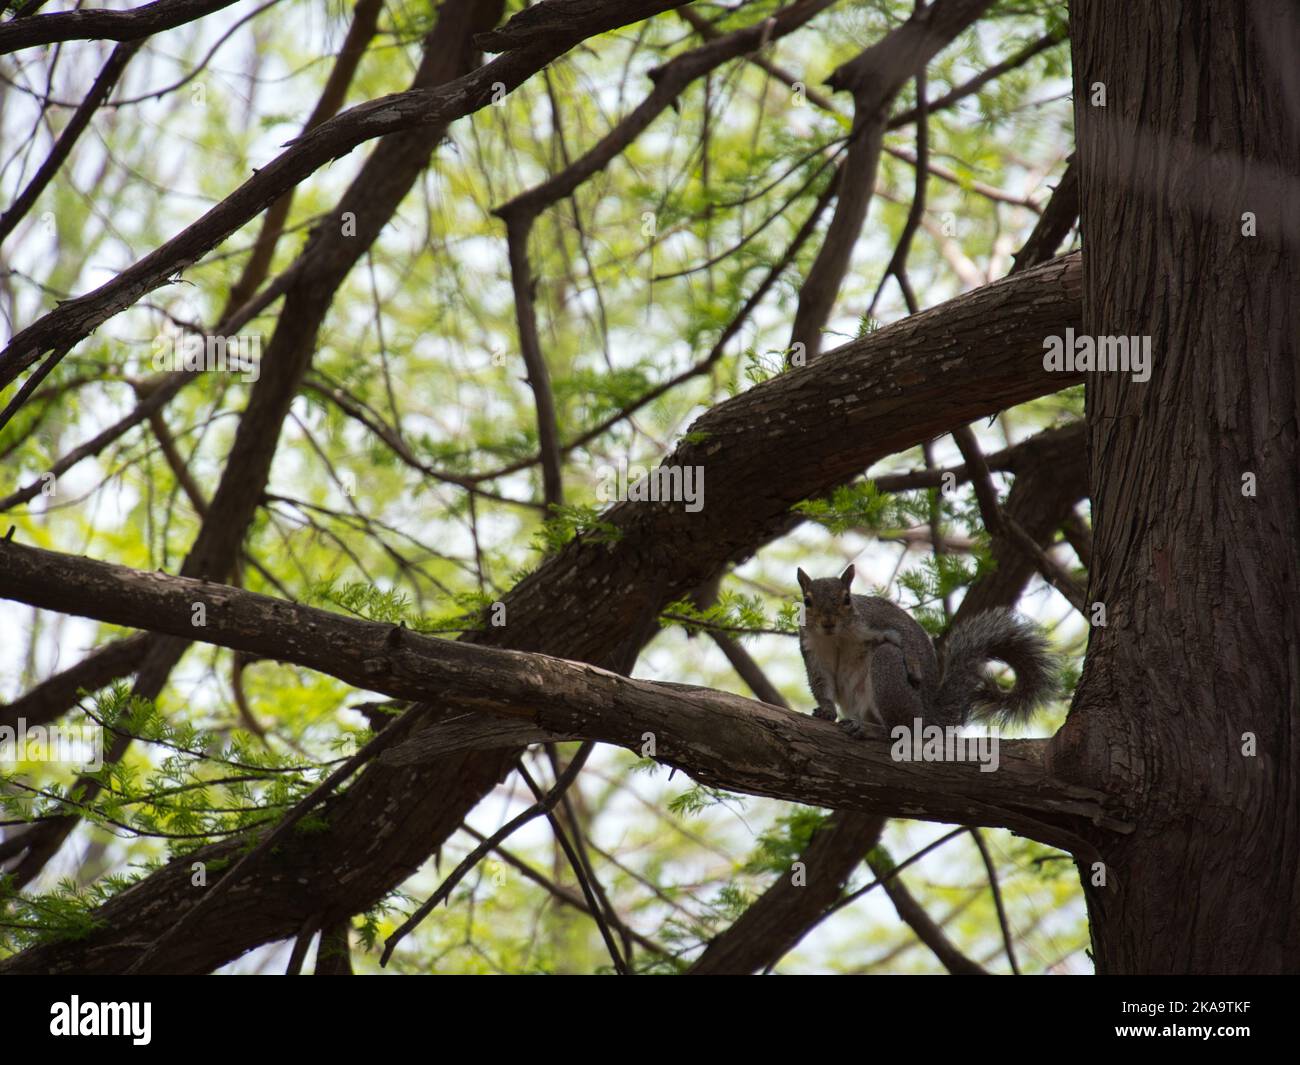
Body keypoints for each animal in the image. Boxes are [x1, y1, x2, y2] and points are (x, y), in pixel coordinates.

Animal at [797, 565, 1058, 736]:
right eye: (807, 601)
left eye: (847, 599)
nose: (828, 623)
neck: (836, 637)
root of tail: (930, 717)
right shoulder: (812, 649)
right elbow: (820, 681)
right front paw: (826, 710)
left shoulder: (876, 617)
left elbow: (908, 633)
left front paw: (914, 666)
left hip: (891, 676)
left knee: (901, 728)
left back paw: (869, 728)